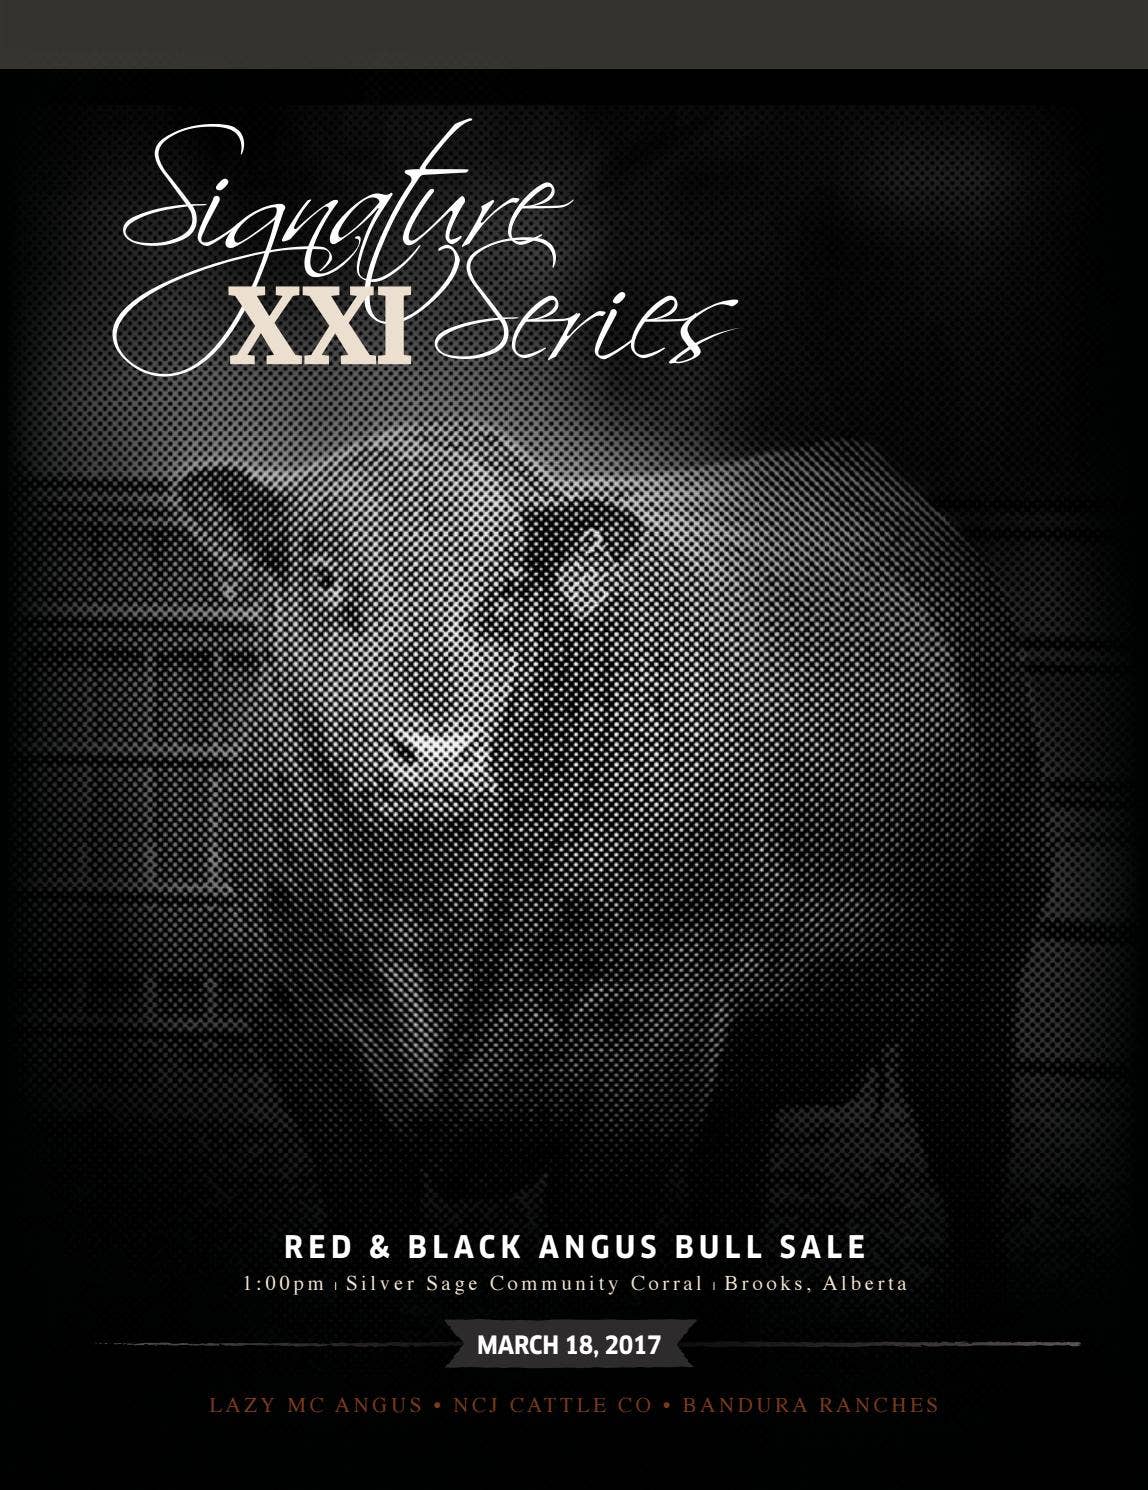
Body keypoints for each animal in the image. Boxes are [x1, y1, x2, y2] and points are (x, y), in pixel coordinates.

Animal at [173, 424, 1049, 1273]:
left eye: (511, 587)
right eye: (324, 577)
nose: (441, 753)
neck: (433, 913)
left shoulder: (658, 1034)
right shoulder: (302, 1032)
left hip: (983, 959)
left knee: (971, 1160)